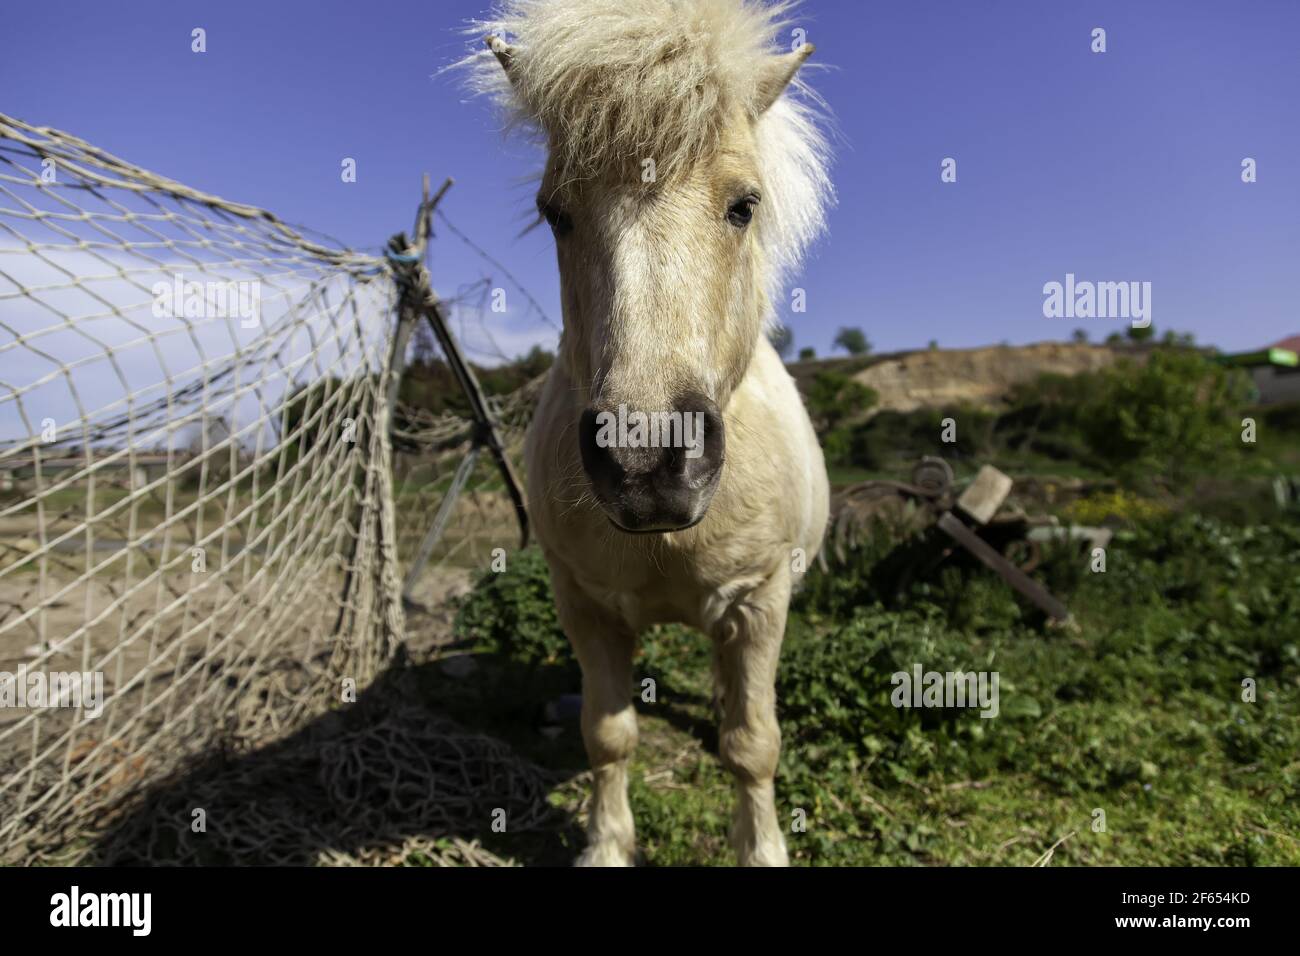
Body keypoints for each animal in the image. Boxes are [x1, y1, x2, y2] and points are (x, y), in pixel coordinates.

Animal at [463, 0, 833, 865]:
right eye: (555, 213)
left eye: (744, 204)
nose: (646, 464)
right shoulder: (583, 604)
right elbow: (608, 735)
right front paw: (604, 845)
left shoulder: (760, 600)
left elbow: (753, 745)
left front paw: (762, 847)